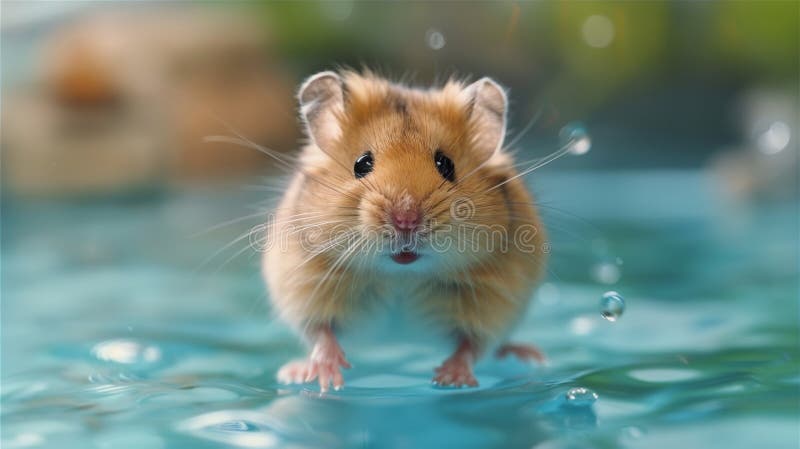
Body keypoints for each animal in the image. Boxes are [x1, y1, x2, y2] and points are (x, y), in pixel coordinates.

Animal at [263, 70, 547, 392]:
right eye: (362, 164)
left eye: (446, 165)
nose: (406, 219)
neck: (401, 275)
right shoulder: (304, 283)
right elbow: (321, 332)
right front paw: (328, 381)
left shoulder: (496, 298)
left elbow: (472, 344)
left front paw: (450, 380)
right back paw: (293, 372)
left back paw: (530, 357)